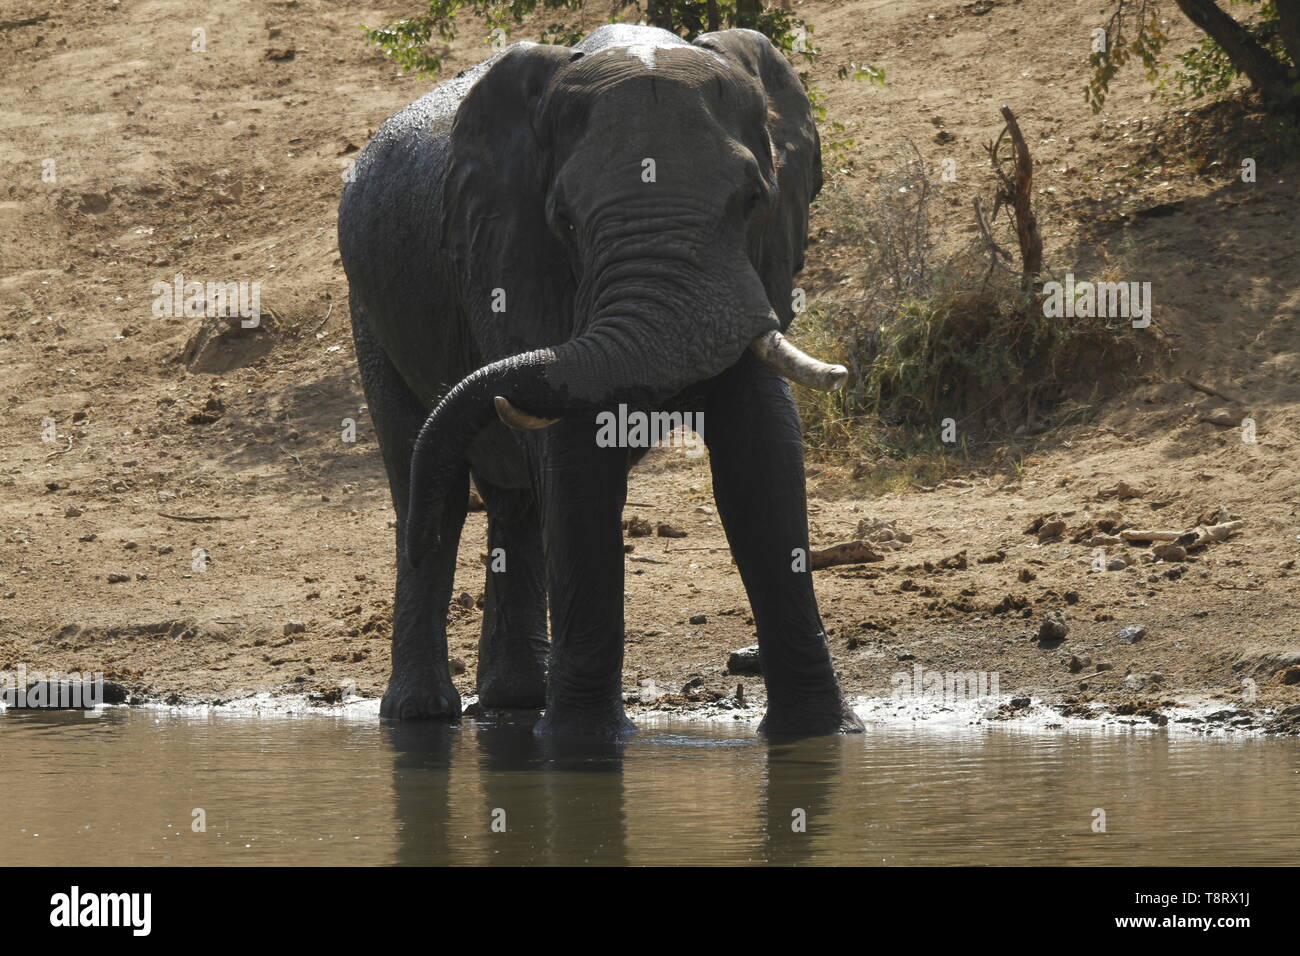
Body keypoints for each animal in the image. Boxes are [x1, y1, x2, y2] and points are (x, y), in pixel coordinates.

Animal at [338, 23, 863, 736]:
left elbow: (764, 460)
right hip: (370, 313)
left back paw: (514, 699)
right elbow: (577, 464)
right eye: (563, 219)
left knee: (511, 500)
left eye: (754, 200)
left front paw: (822, 734)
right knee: (428, 483)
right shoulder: (512, 259)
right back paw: (421, 712)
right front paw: (583, 746)